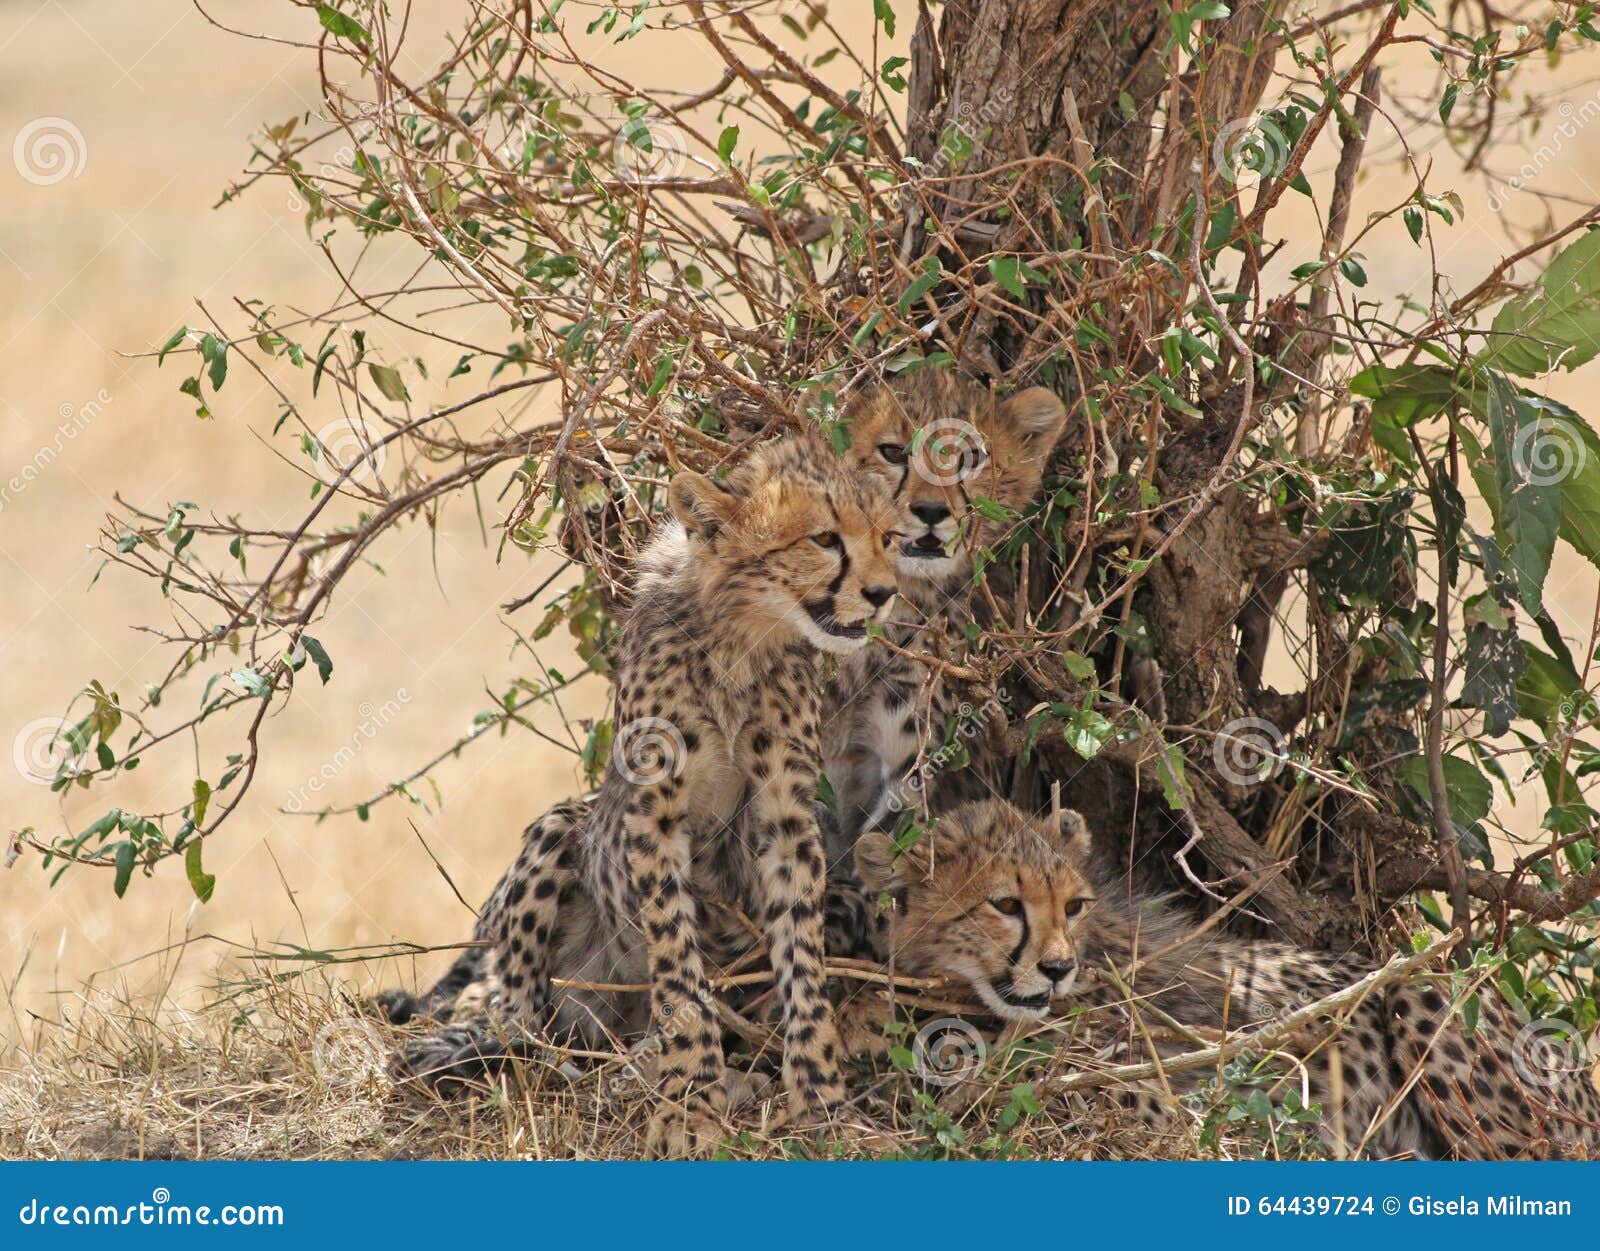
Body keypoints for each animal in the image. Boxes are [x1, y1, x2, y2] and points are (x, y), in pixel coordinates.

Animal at [393, 430, 900, 1154]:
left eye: (887, 536)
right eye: (825, 538)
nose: (884, 593)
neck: (742, 632)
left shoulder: (786, 817)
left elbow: (802, 956)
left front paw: (818, 1092)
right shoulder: (652, 813)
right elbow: (677, 961)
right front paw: (691, 1100)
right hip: (563, 833)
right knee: (518, 1011)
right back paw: (481, 1046)